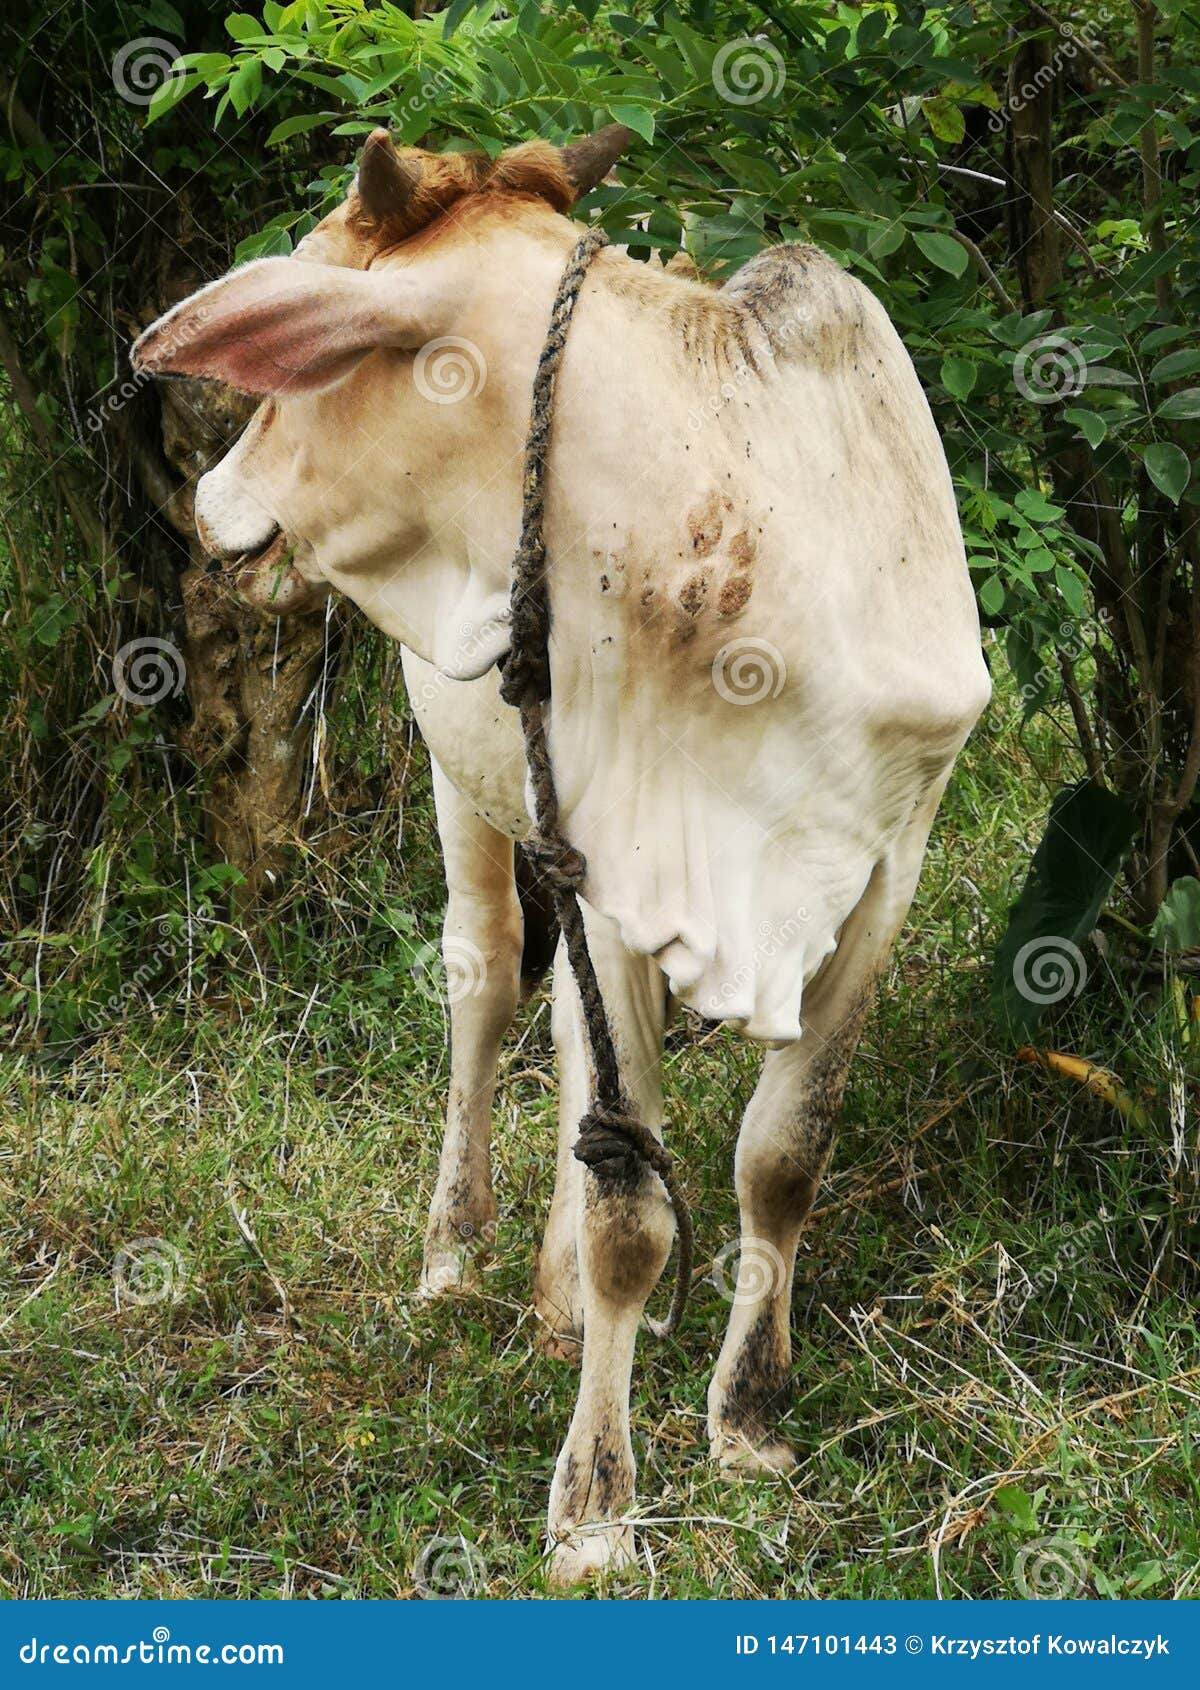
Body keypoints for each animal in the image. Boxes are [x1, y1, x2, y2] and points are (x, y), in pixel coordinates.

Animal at [133, 125, 991, 1585]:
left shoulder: (890, 865)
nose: (208, 504)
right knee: (486, 998)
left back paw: (550, 1295)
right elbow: (628, 1216)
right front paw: (596, 1505)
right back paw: (457, 1259)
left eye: (304, 345)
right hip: (463, 790)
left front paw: (748, 1422)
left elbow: (780, 1155)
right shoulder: (605, 875)